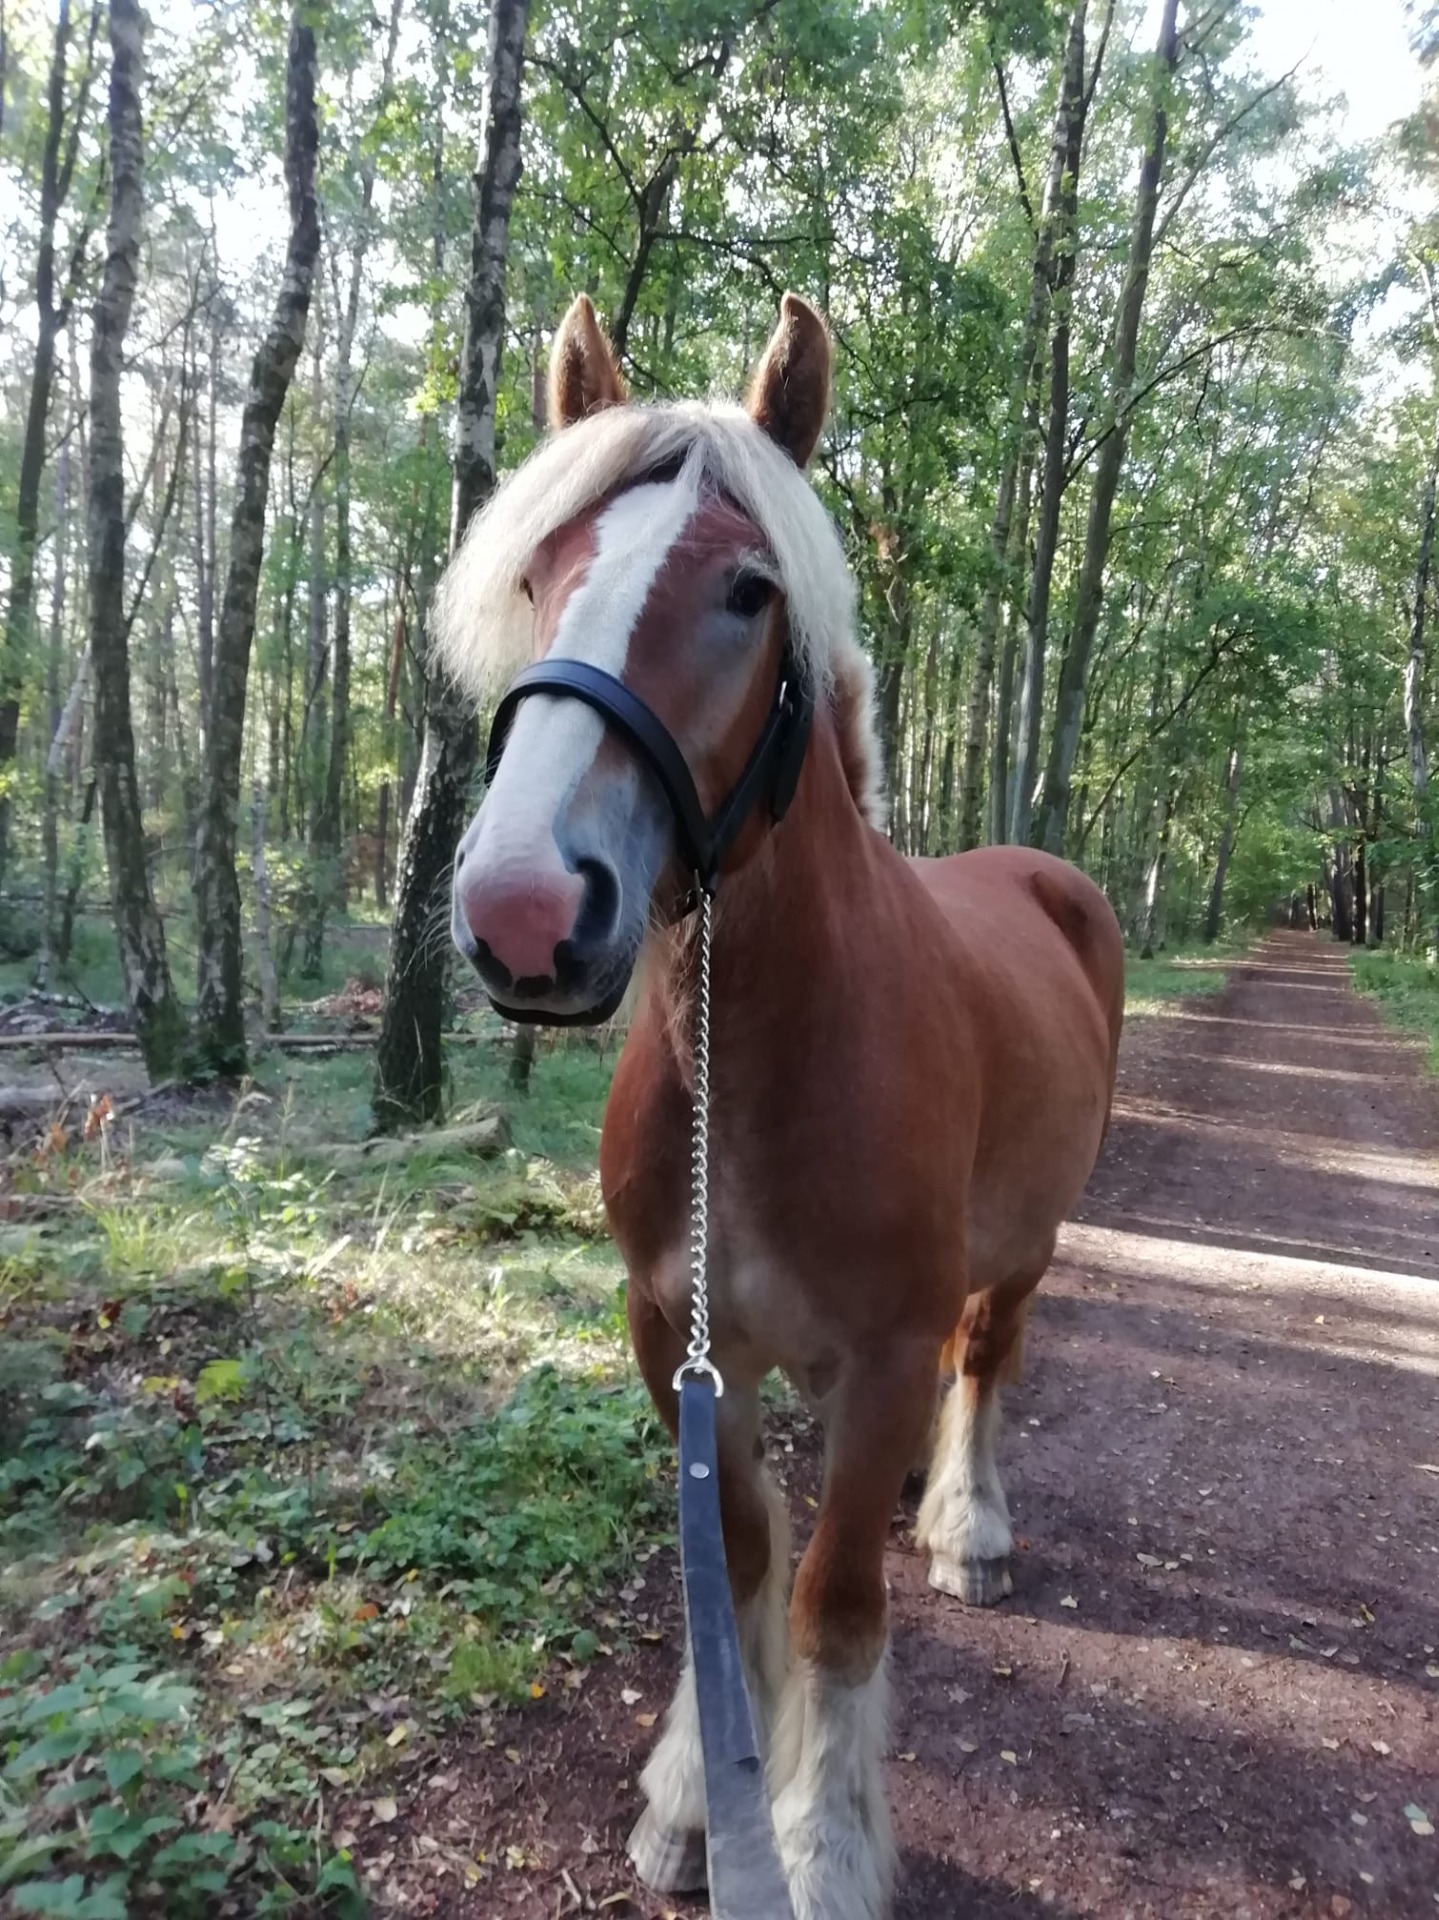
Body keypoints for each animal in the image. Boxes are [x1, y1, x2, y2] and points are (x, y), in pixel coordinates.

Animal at [443, 291, 1125, 1920]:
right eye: (537, 571)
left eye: (749, 591)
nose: (519, 911)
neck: (759, 1075)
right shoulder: (676, 1341)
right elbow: (745, 1558)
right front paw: (704, 1797)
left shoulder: (873, 1360)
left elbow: (831, 1602)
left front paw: (817, 1846)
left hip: (1025, 1247)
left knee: (985, 1360)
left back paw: (964, 1522)